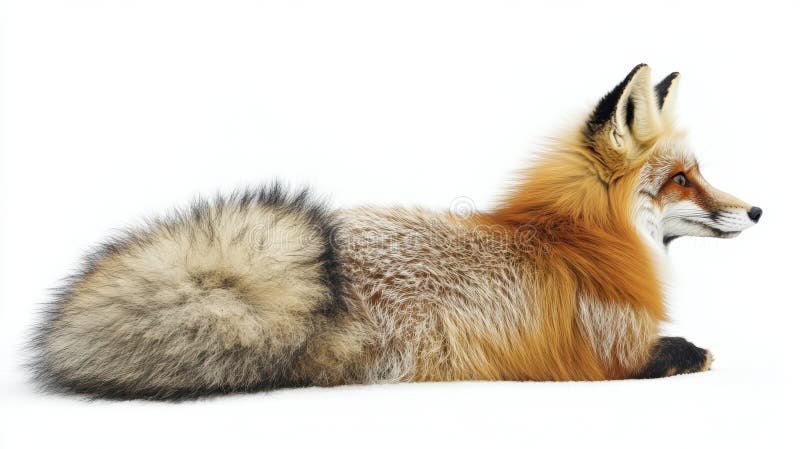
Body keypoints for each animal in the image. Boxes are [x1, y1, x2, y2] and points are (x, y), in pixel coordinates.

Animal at [30, 64, 762, 400]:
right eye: (683, 178)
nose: (758, 212)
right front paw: (698, 351)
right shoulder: (609, 352)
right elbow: (681, 350)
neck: (580, 239)